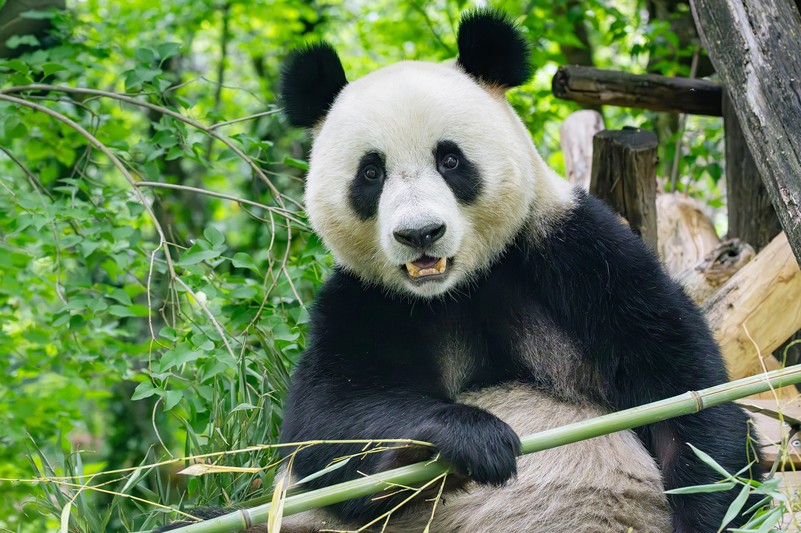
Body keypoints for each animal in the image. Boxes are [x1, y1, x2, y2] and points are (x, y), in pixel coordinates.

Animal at [258, 9, 762, 533]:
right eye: (371, 173)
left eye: (450, 159)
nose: (420, 234)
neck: (455, 288)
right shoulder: (365, 299)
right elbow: (327, 426)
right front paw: (467, 439)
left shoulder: (575, 253)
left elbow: (682, 385)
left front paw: (710, 505)